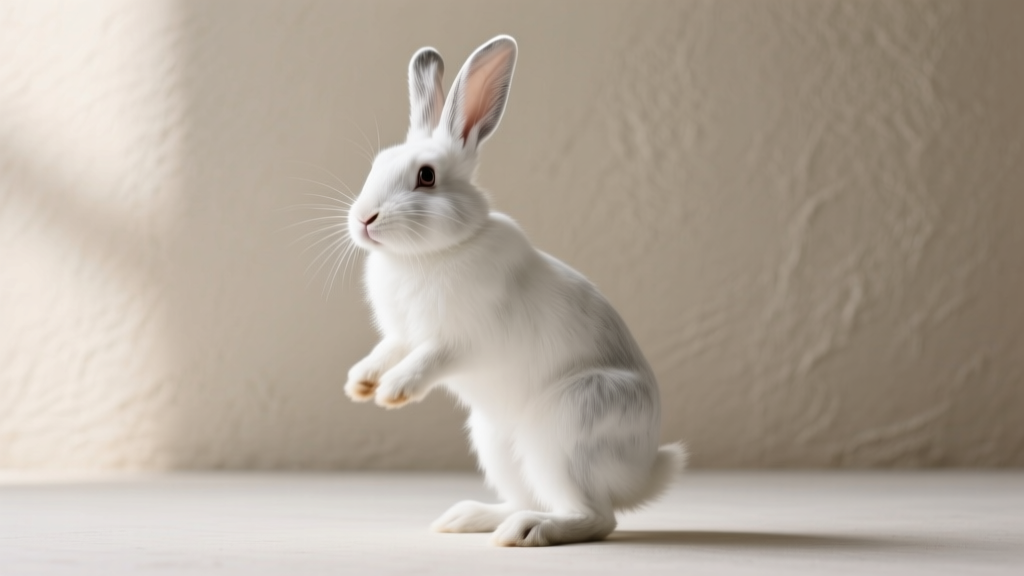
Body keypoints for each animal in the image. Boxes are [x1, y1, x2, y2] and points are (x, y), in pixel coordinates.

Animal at [342, 35, 685, 547]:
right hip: (496, 442)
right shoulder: (403, 335)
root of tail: (640, 473)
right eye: (376, 165)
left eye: (426, 176)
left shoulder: (462, 340)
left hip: (562, 434)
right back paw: (468, 517)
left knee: (596, 517)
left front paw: (394, 391)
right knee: (530, 497)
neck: (432, 254)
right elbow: (388, 350)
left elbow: (427, 360)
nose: (364, 218)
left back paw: (526, 531)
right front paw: (361, 384)